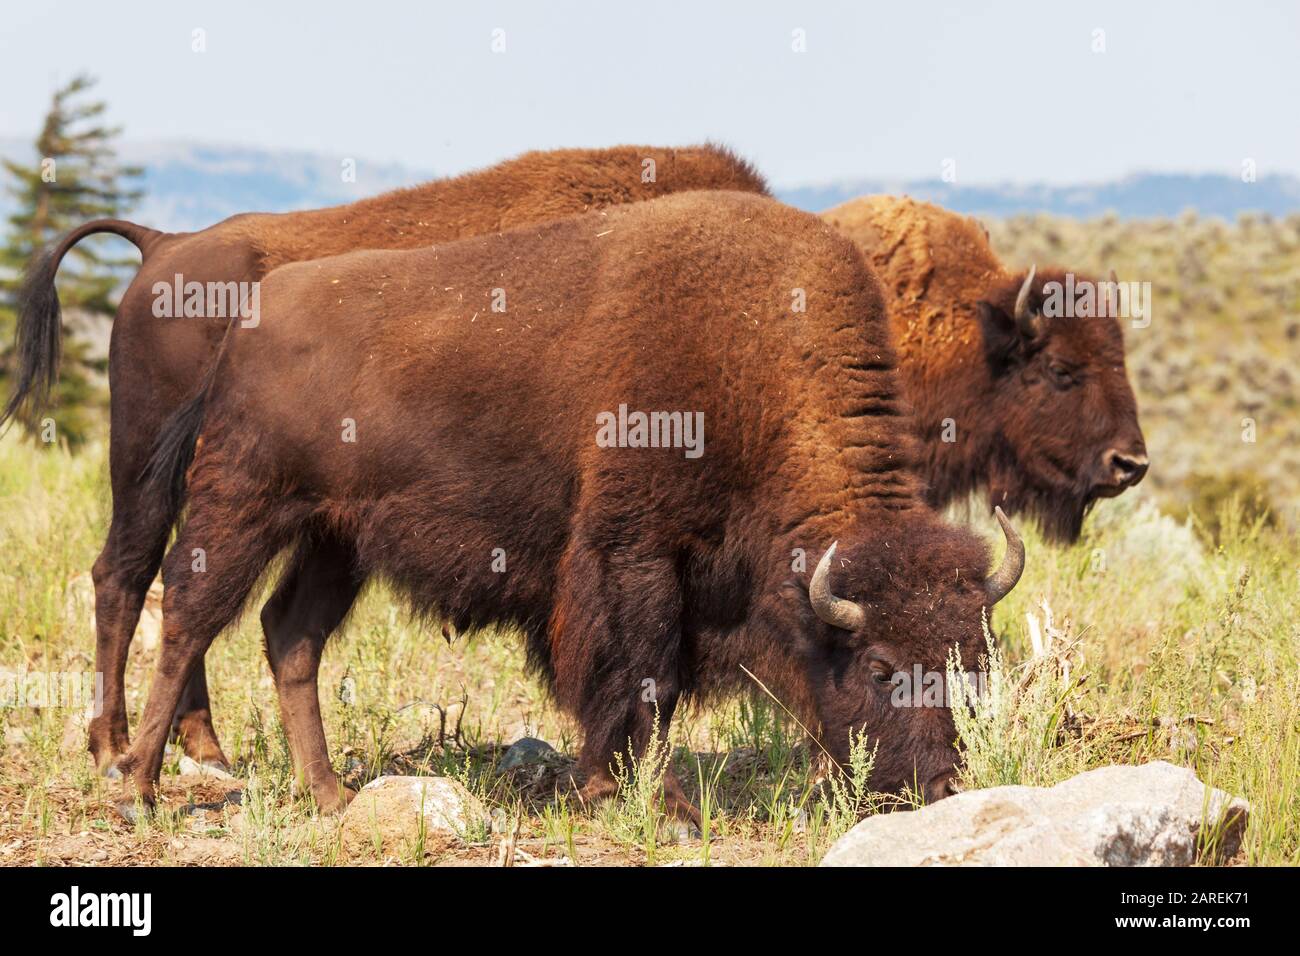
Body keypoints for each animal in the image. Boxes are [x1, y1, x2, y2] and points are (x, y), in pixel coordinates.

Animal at [1, 144, 768, 775]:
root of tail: (164, 244)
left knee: (174, 587)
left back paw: (206, 752)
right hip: (148, 468)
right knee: (125, 577)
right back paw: (114, 751)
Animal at [119, 191, 1024, 822]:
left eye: (972, 661)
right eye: (879, 667)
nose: (942, 785)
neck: (759, 372)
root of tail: (250, 321)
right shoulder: (635, 554)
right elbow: (641, 672)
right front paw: (647, 798)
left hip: (335, 542)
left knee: (291, 636)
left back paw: (331, 794)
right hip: (245, 506)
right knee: (189, 616)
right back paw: (137, 785)